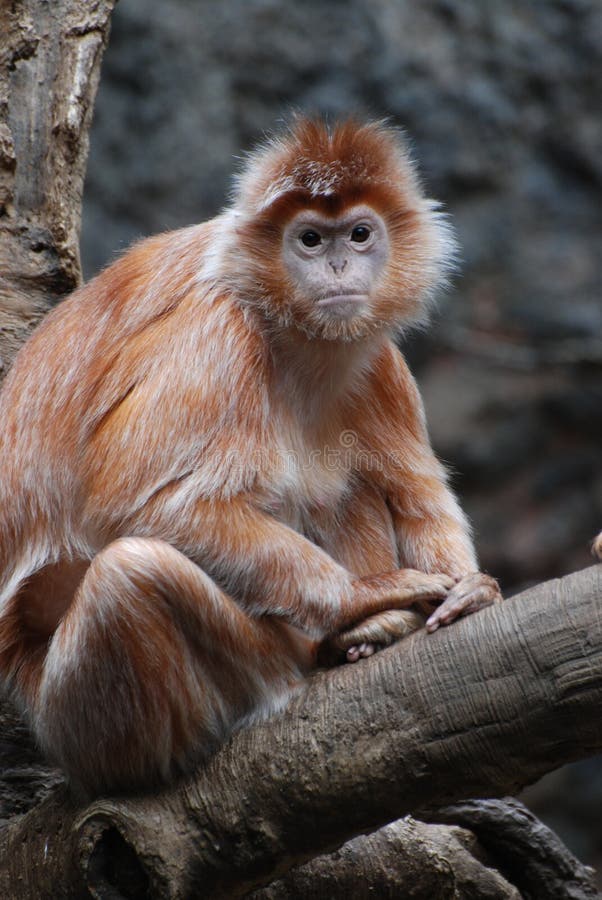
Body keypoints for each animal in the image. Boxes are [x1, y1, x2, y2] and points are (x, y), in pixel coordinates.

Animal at [0, 118, 501, 797]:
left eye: (360, 234)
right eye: (310, 239)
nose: (339, 264)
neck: (289, 334)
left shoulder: (377, 362)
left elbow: (418, 494)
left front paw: (473, 590)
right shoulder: (216, 332)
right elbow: (137, 505)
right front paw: (361, 598)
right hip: (82, 724)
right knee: (129, 572)